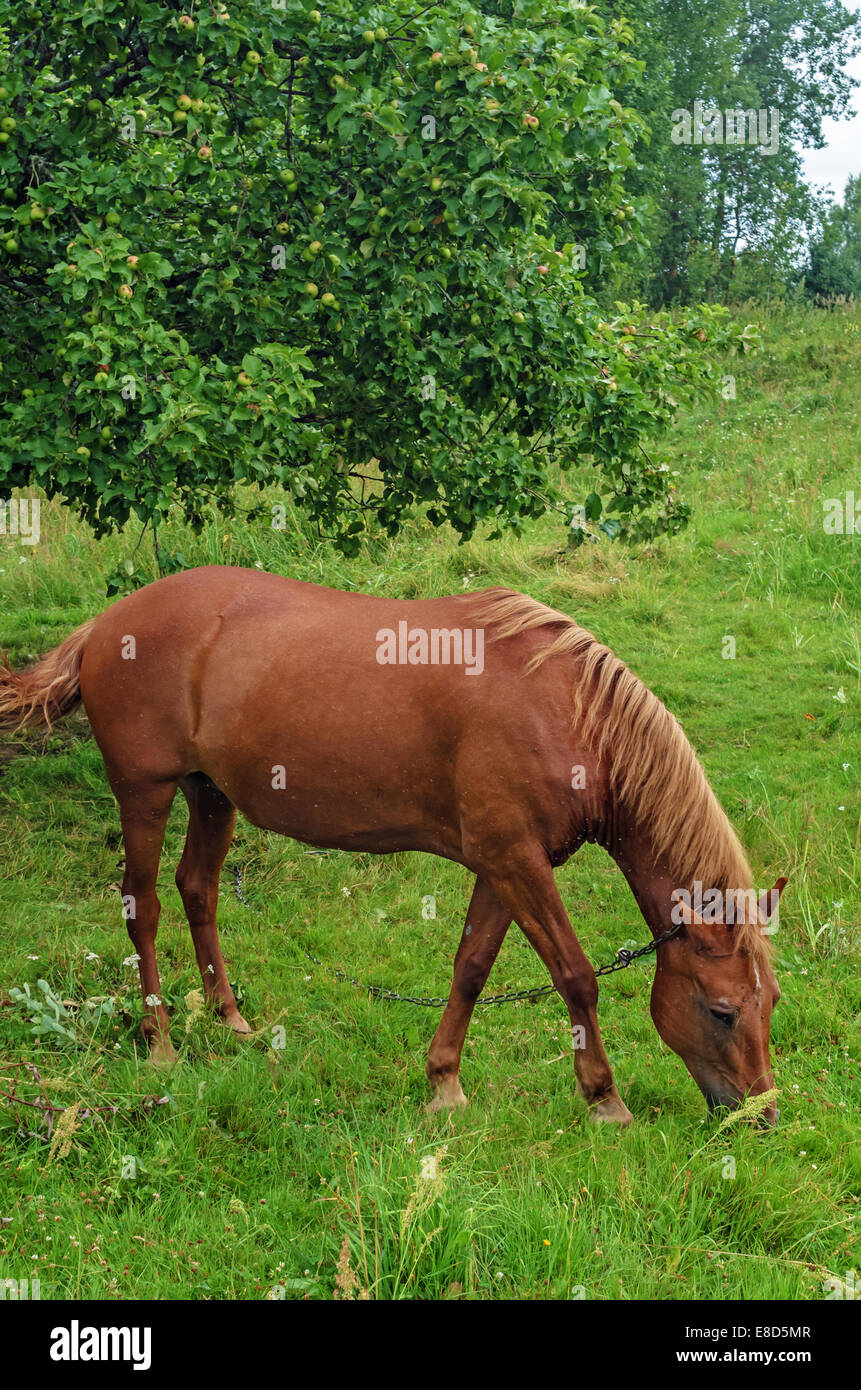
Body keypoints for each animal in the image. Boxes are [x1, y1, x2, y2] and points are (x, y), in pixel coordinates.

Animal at [0, 566, 786, 1124]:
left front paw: (444, 1083)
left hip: (211, 794)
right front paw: (603, 1099)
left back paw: (231, 1020)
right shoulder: (517, 862)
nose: (761, 1114)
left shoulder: (504, 866)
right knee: (145, 907)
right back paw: (160, 1042)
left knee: (199, 891)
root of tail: (107, 623)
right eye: (721, 1010)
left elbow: (470, 969)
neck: (567, 712)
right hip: (146, 793)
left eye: (770, 1001)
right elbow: (575, 975)